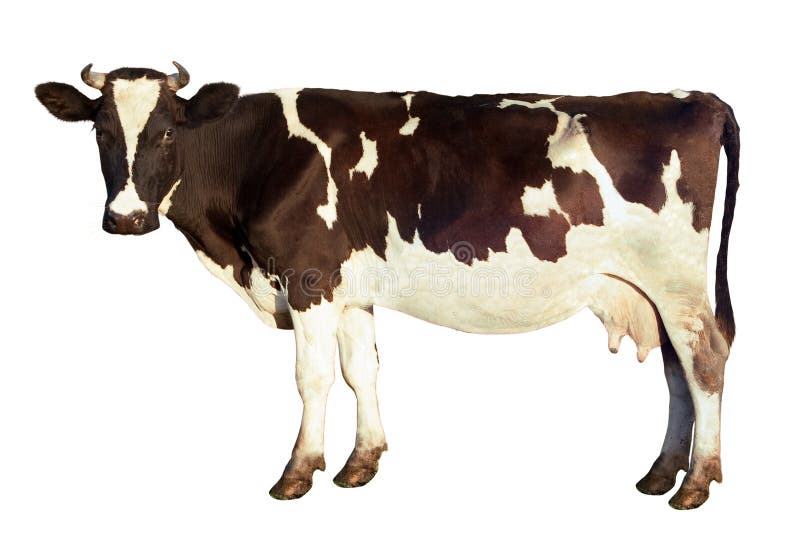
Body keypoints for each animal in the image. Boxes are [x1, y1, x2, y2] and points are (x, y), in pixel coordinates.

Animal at [35, 63, 739, 509]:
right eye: (101, 131)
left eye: (167, 131)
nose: (126, 217)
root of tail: (693, 97)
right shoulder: (349, 287)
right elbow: (362, 370)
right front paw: (361, 462)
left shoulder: (309, 276)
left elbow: (313, 377)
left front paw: (298, 472)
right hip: (653, 290)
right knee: (677, 371)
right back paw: (662, 473)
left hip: (676, 283)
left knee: (704, 362)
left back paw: (697, 482)